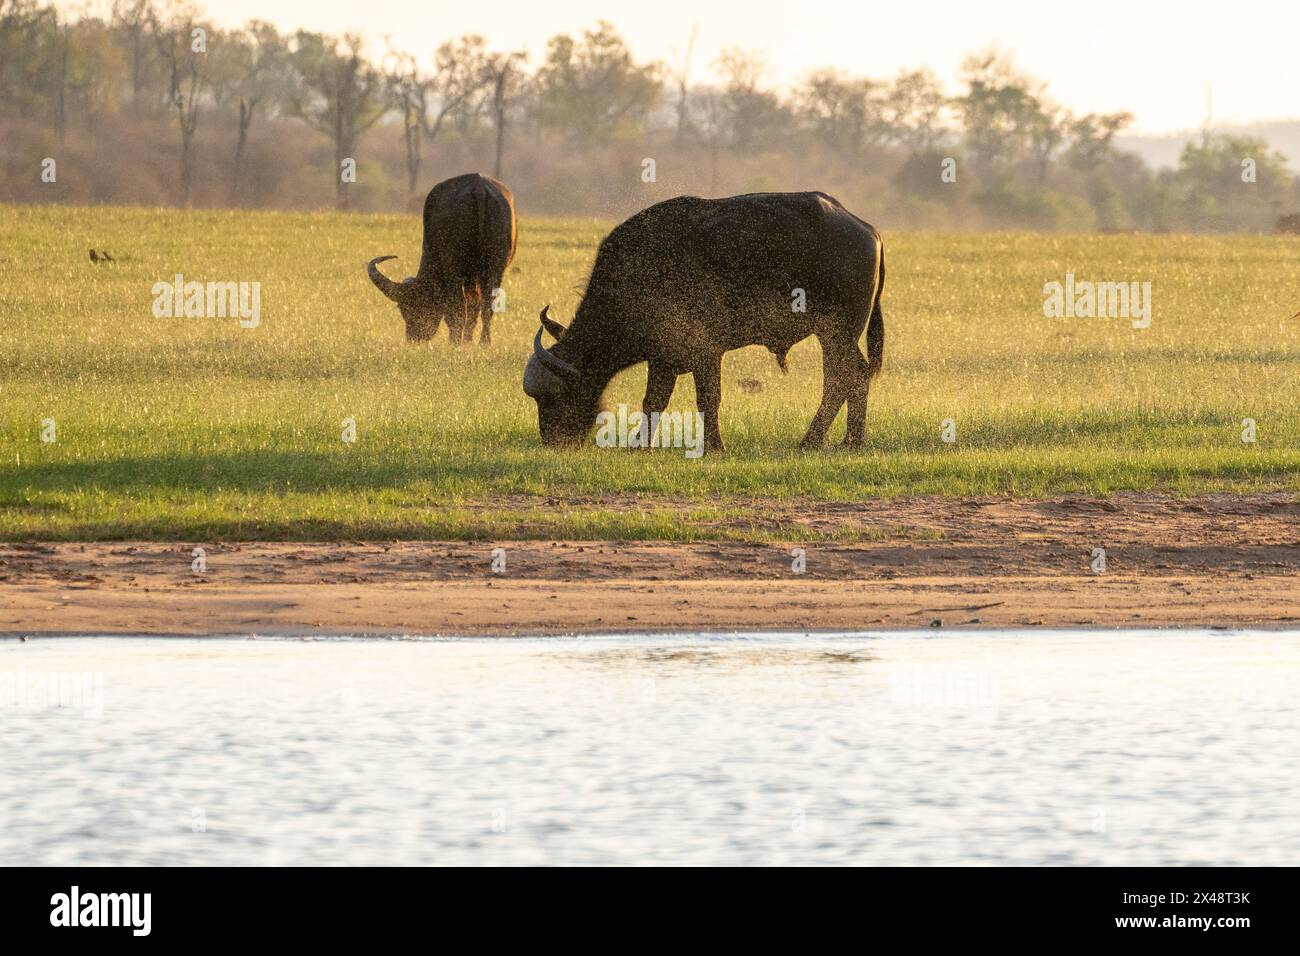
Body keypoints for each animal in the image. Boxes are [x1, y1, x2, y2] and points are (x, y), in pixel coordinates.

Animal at [367, 173, 517, 344]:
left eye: (408, 308)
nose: (414, 338)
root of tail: (479, 189)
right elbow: (474, 304)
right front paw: (468, 340)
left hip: (455, 268)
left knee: (459, 306)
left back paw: (455, 342)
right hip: (496, 267)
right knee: (487, 305)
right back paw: (483, 343)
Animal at [524, 191, 884, 453]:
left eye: (555, 396)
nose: (553, 442)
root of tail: (868, 230)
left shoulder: (705, 351)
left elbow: (707, 398)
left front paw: (714, 446)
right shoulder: (664, 357)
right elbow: (654, 400)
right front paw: (640, 444)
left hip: (836, 332)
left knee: (845, 378)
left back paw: (818, 440)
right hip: (838, 335)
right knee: (851, 377)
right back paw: (849, 440)